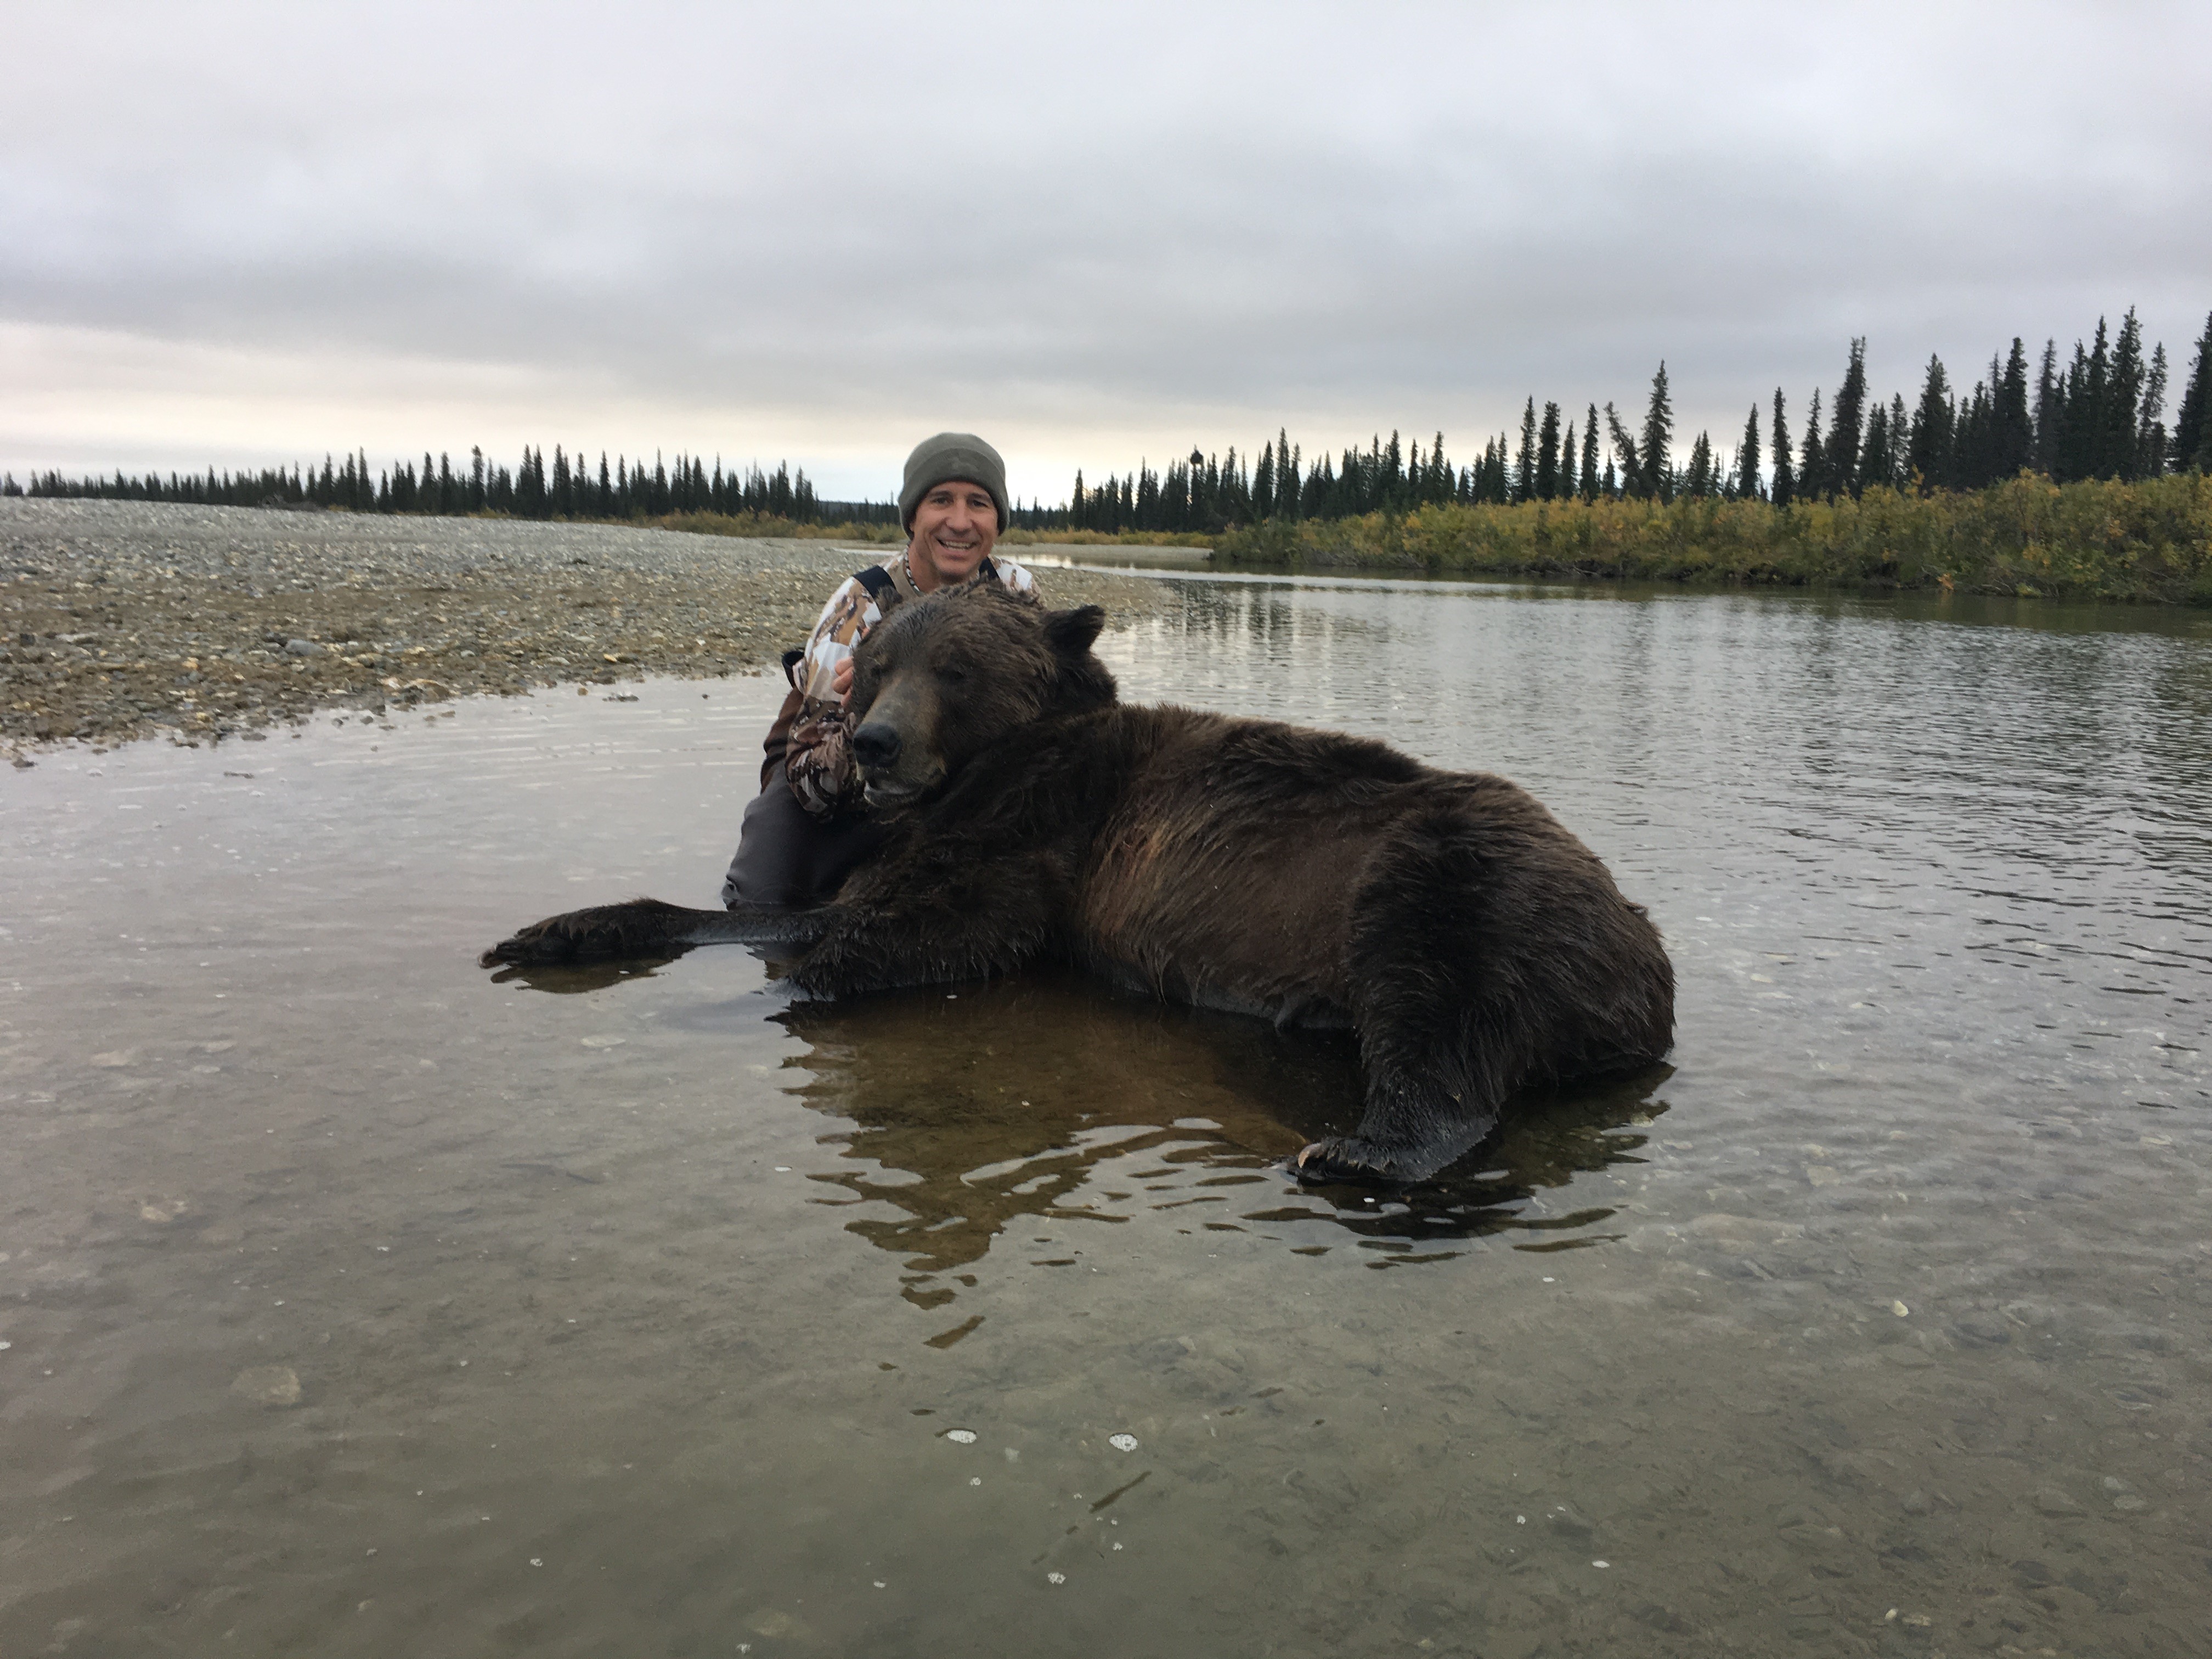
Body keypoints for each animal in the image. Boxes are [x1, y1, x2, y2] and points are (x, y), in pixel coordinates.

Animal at [482, 582, 1676, 1185]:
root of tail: (1646, 961)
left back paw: (1356, 1146)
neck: (976, 779)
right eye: (875, 668)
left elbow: (915, 933)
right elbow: (768, 915)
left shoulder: (1043, 842)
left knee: (1435, 1012)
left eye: (954, 669)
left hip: (1440, 871)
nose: (872, 743)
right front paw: (558, 929)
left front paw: (751, 995)